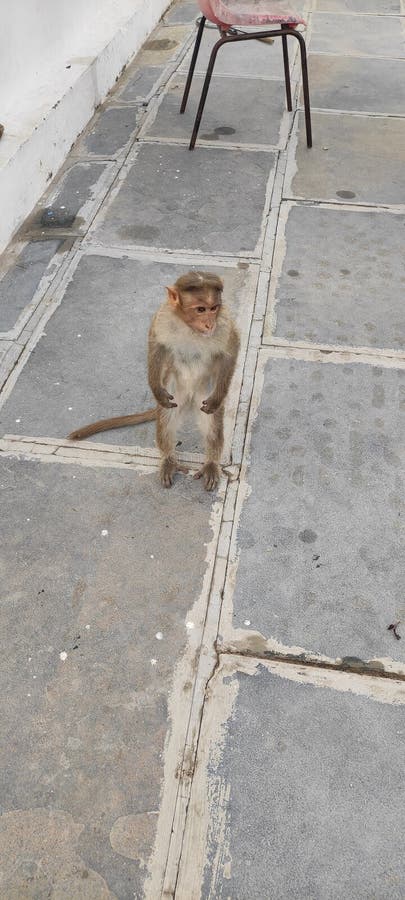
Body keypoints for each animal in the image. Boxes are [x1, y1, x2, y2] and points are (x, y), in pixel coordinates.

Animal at [68, 272, 240, 491]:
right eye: (201, 309)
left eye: (214, 308)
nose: (210, 323)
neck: (189, 328)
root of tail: (190, 399)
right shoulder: (163, 317)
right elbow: (156, 344)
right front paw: (155, 388)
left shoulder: (224, 322)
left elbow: (231, 349)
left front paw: (219, 397)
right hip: (175, 391)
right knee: (166, 418)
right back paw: (168, 459)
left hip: (204, 391)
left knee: (212, 425)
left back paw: (210, 463)